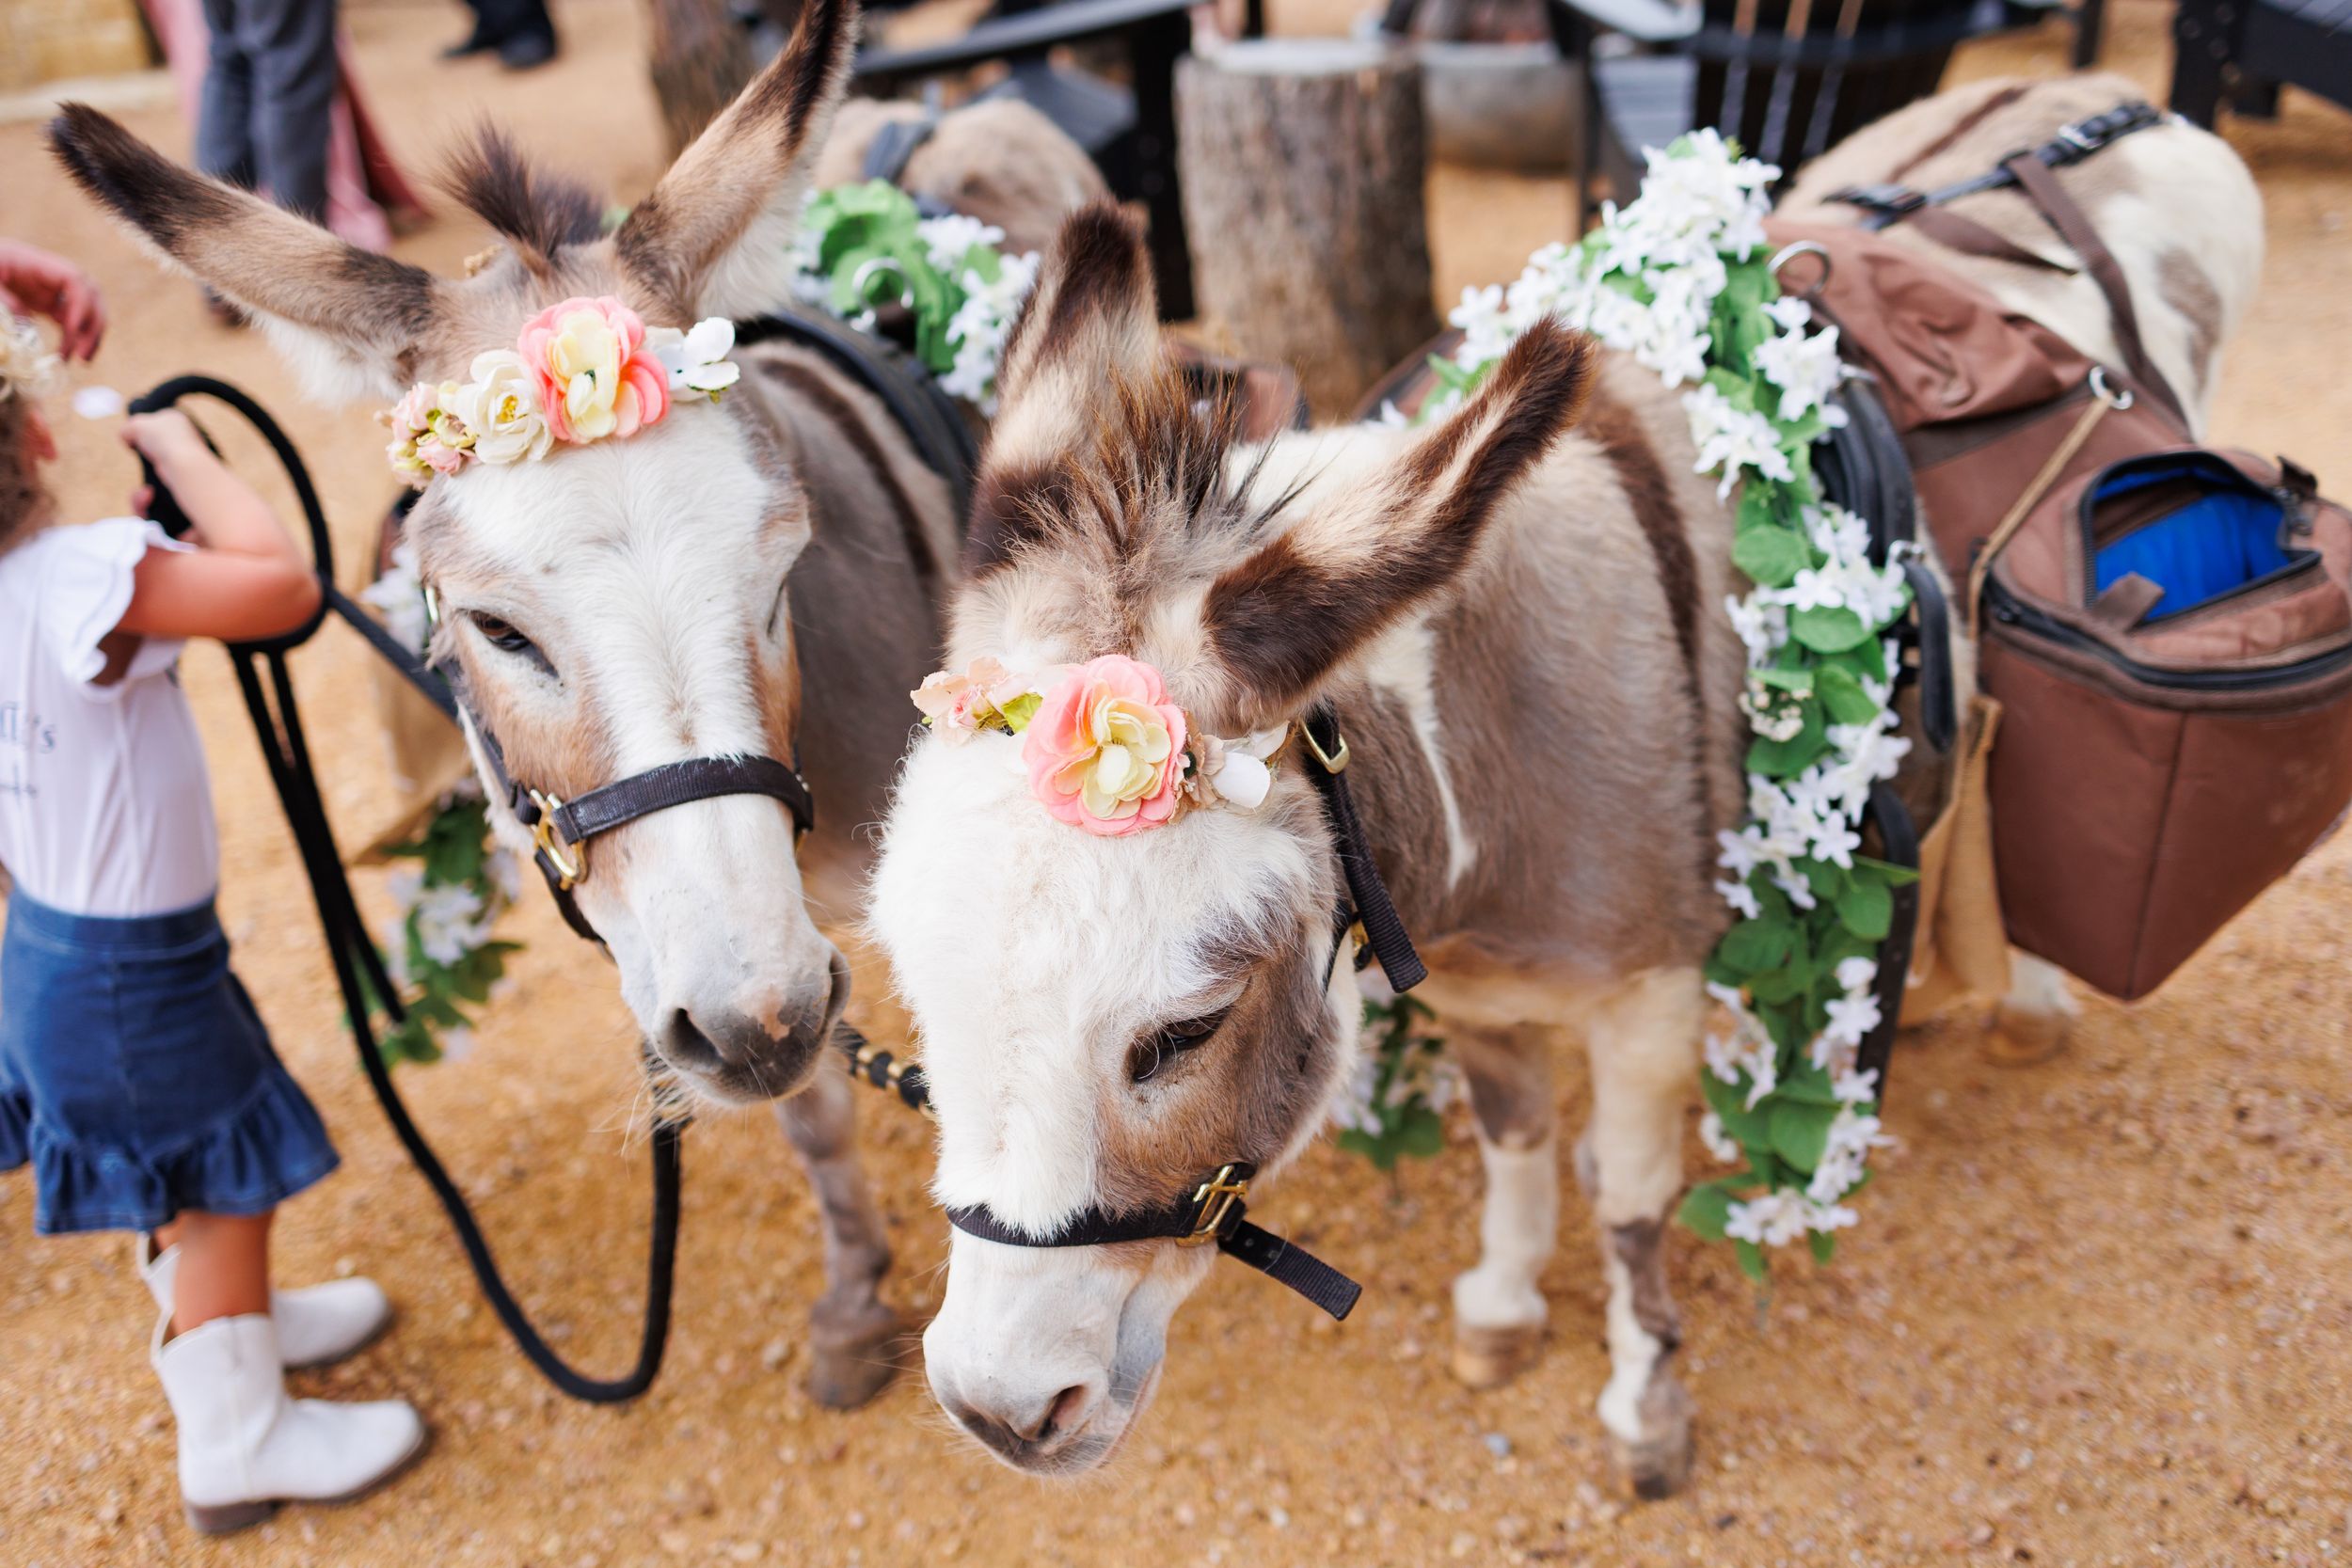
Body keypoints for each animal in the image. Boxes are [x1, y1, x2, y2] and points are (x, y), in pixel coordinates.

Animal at [863, 79, 2260, 1490]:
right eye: (916, 994)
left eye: (1185, 1033)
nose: (997, 1406)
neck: (1499, 740)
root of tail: (2088, 99)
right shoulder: (1473, 979)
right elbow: (1517, 1135)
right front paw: (1504, 1304)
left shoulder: (1649, 993)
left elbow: (1633, 1200)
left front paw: (1645, 1400)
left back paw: (2023, 1001)